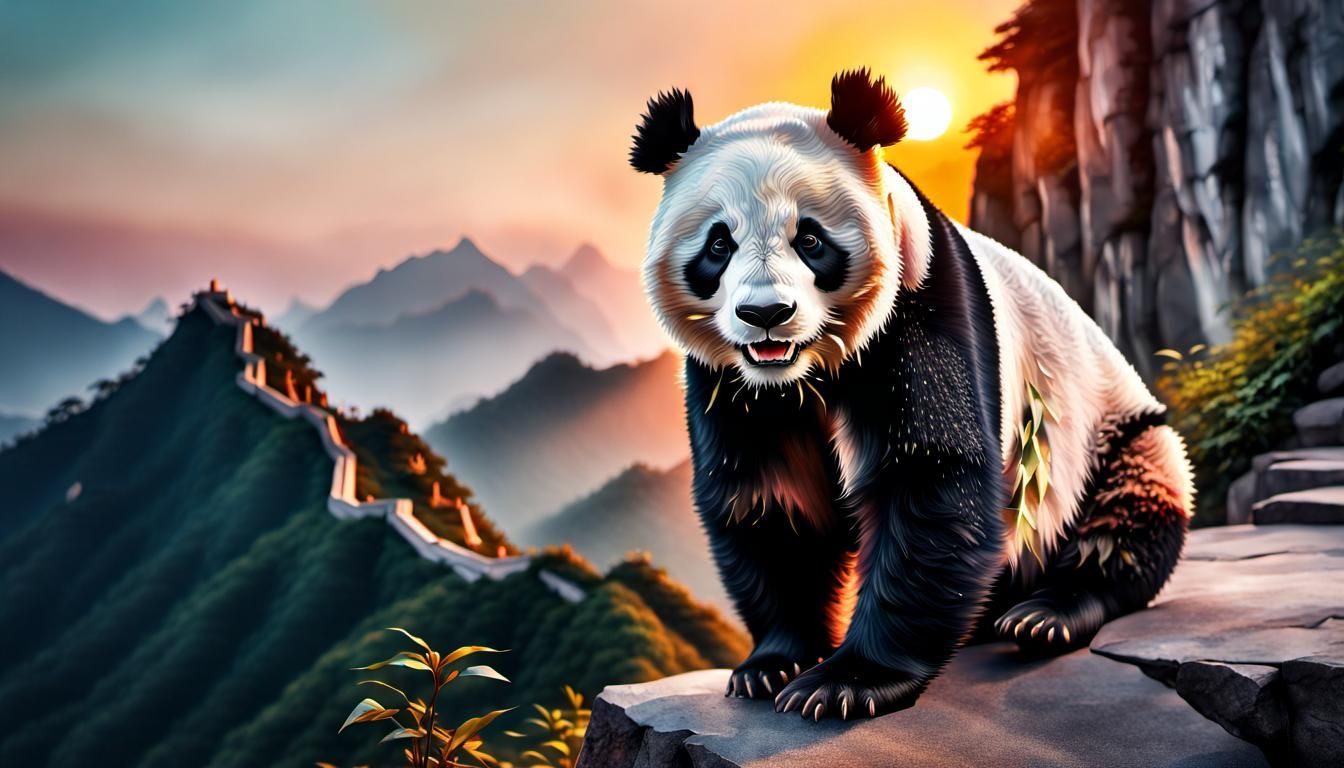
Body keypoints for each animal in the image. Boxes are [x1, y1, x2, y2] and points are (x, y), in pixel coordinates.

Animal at [629, 69, 1194, 721]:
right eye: (718, 244)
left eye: (810, 240)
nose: (766, 315)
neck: (803, 373)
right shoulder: (727, 382)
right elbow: (769, 495)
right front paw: (772, 664)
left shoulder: (919, 305)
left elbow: (928, 474)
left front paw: (846, 682)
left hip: (1111, 433)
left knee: (1126, 511)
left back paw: (1046, 614)